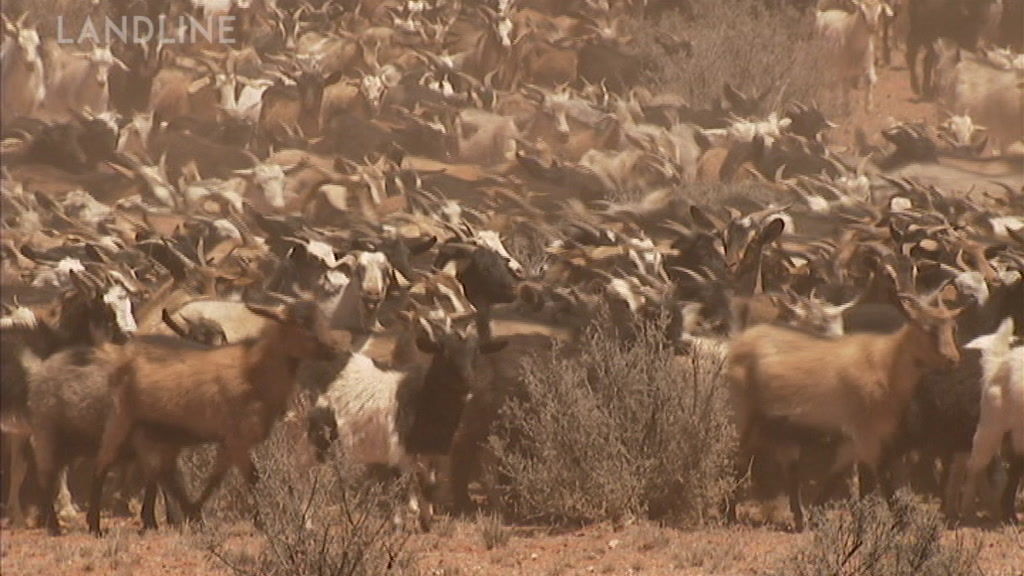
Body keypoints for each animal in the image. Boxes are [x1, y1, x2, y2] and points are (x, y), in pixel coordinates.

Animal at [87, 300, 339, 535]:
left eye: (322, 319)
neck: (253, 372)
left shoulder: (229, 441)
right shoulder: (237, 439)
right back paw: (95, 525)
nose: (333, 350)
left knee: (160, 471)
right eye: (301, 324)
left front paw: (197, 514)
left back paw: (156, 519)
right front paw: (261, 522)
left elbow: (214, 480)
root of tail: (124, 354)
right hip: (121, 417)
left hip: (158, 432)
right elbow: (252, 479)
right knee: (102, 465)